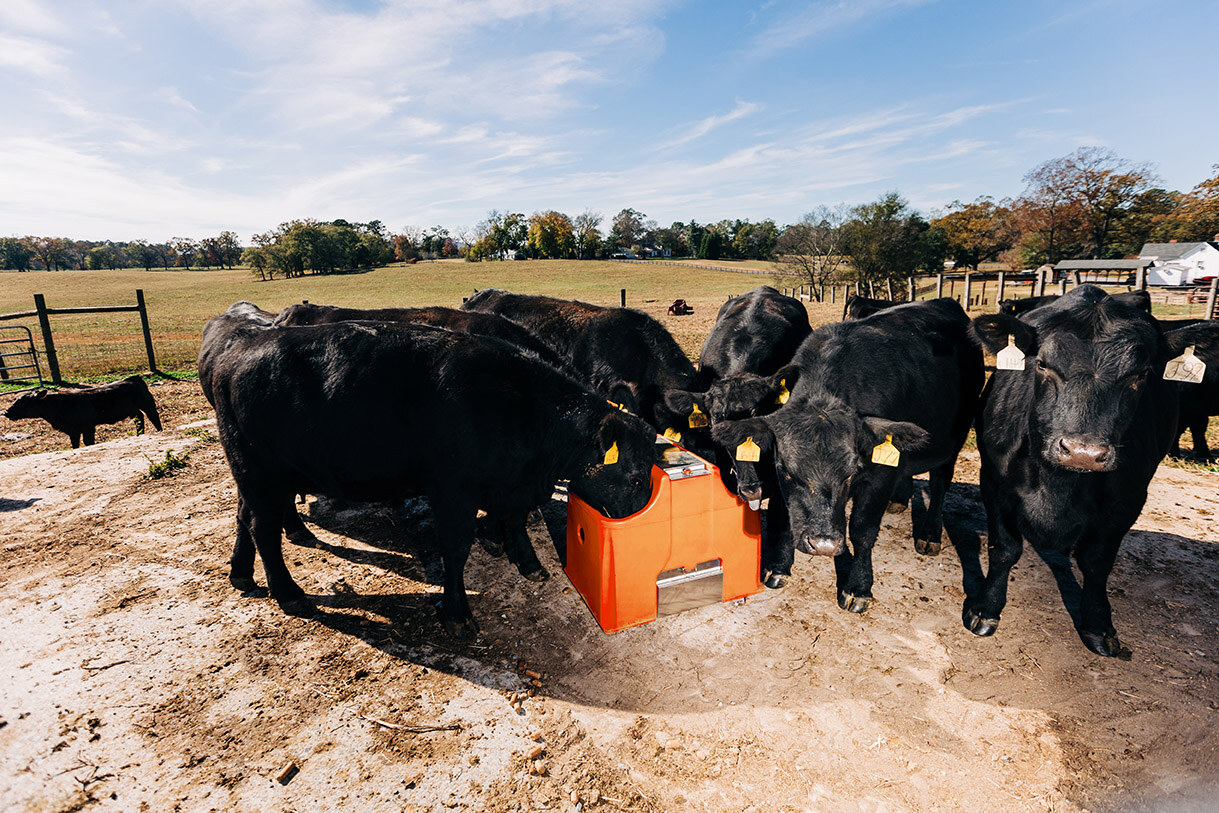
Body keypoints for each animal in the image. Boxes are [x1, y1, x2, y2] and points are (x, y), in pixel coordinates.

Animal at [3, 375, 161, 448]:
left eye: (23, 402)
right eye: (15, 400)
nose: (6, 412)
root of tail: (134, 378)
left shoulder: (88, 427)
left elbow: (88, 443)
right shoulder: (73, 431)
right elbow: (75, 445)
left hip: (148, 404)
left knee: (154, 417)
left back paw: (159, 431)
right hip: (133, 410)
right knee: (139, 418)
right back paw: (139, 434)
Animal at [200, 303, 656, 638]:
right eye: (634, 477)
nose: (636, 527)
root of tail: (239, 348)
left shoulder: (510, 483)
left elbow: (515, 520)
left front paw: (527, 561)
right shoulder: (454, 492)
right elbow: (456, 548)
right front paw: (457, 611)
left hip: (255, 476)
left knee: (244, 518)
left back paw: (241, 574)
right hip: (260, 474)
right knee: (263, 528)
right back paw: (289, 593)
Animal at [711, 298, 984, 607]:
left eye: (850, 474)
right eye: (786, 469)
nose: (823, 545)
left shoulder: (879, 476)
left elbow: (862, 531)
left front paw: (858, 587)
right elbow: (786, 519)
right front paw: (779, 567)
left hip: (955, 439)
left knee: (939, 483)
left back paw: (929, 535)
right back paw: (899, 500)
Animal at [968, 285, 1181, 657]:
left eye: (1140, 375)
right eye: (1042, 365)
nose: (1083, 452)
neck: (1057, 486)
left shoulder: (1128, 501)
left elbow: (1097, 563)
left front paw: (1098, 625)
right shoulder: (993, 481)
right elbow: (1004, 549)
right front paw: (986, 610)